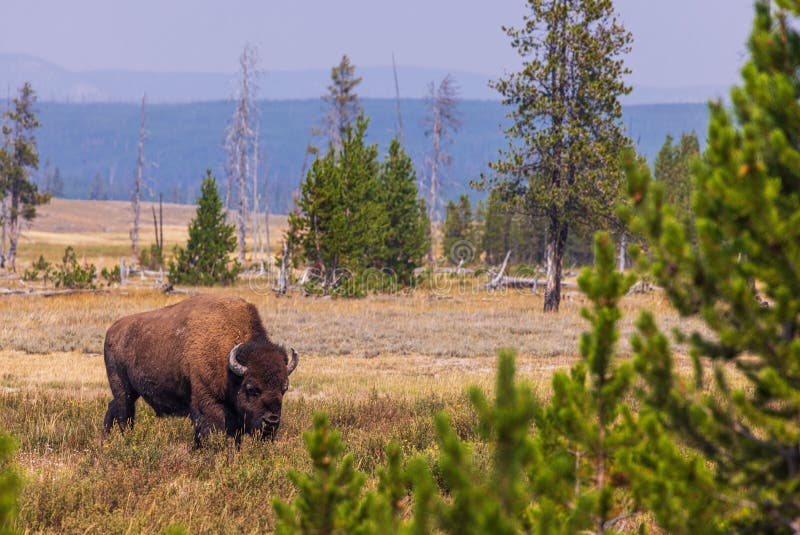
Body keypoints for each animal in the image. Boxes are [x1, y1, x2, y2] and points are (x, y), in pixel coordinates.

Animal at [102, 294, 298, 445]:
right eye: (251, 388)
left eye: (284, 388)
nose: (272, 421)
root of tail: (112, 331)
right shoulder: (207, 401)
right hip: (123, 388)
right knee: (124, 413)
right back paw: (125, 440)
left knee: (113, 407)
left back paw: (104, 440)